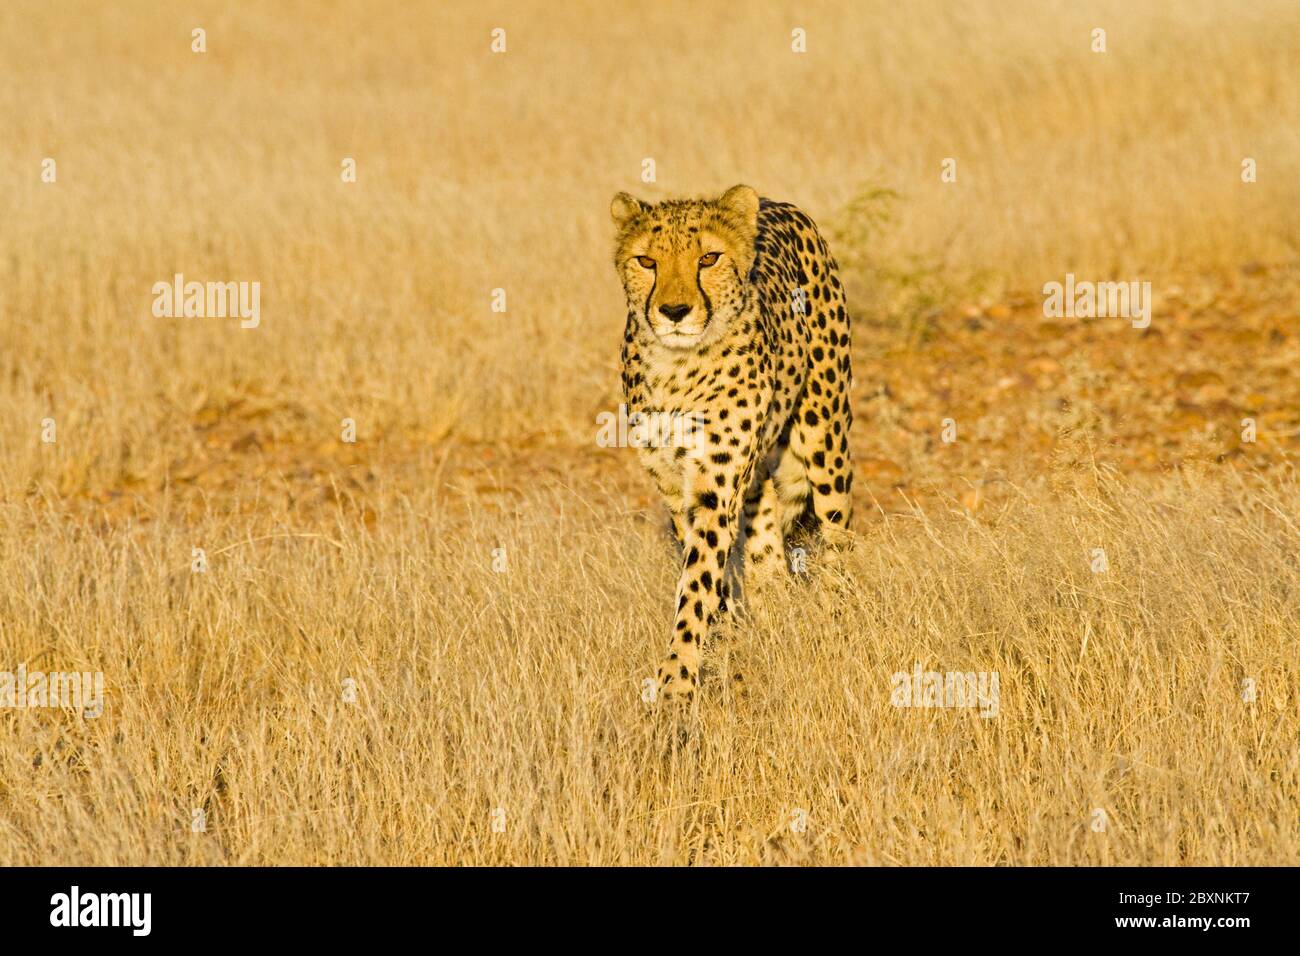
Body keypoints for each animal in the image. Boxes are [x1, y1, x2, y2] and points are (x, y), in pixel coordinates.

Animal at [611, 184, 854, 703]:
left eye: (709, 258)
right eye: (646, 261)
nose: (675, 312)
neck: (677, 366)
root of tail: (776, 201)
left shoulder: (714, 485)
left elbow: (698, 582)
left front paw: (676, 683)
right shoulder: (675, 488)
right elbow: (706, 578)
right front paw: (719, 648)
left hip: (825, 434)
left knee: (838, 532)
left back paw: (839, 616)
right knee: (766, 549)